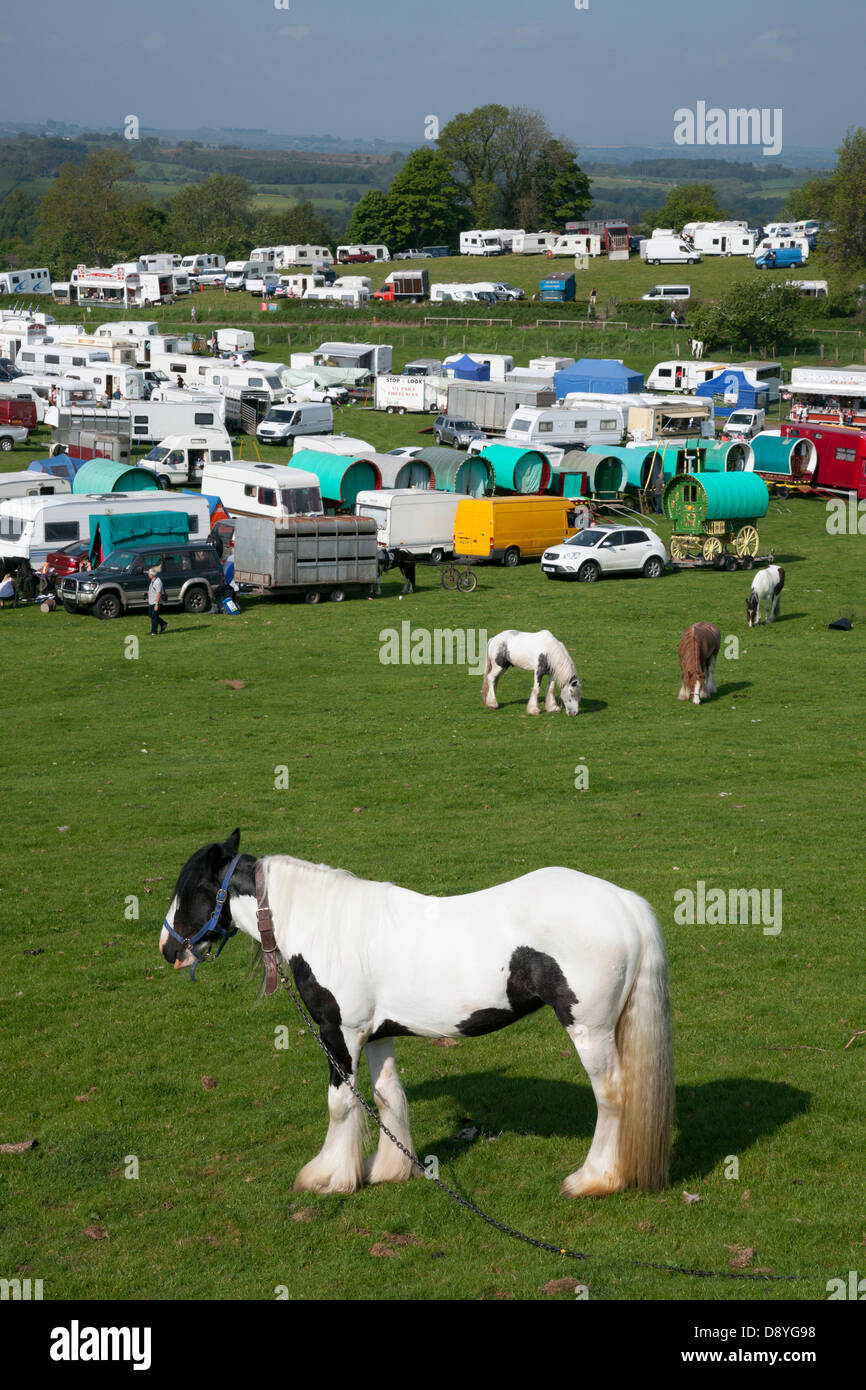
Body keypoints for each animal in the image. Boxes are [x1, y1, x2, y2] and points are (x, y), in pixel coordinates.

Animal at [159, 831, 674, 1200]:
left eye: (193, 889)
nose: (168, 949)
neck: (328, 925)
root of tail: (624, 903)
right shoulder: (376, 1034)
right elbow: (386, 1096)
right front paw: (388, 1170)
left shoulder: (339, 1033)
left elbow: (340, 1103)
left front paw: (327, 1178)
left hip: (589, 1030)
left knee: (611, 1096)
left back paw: (593, 1179)